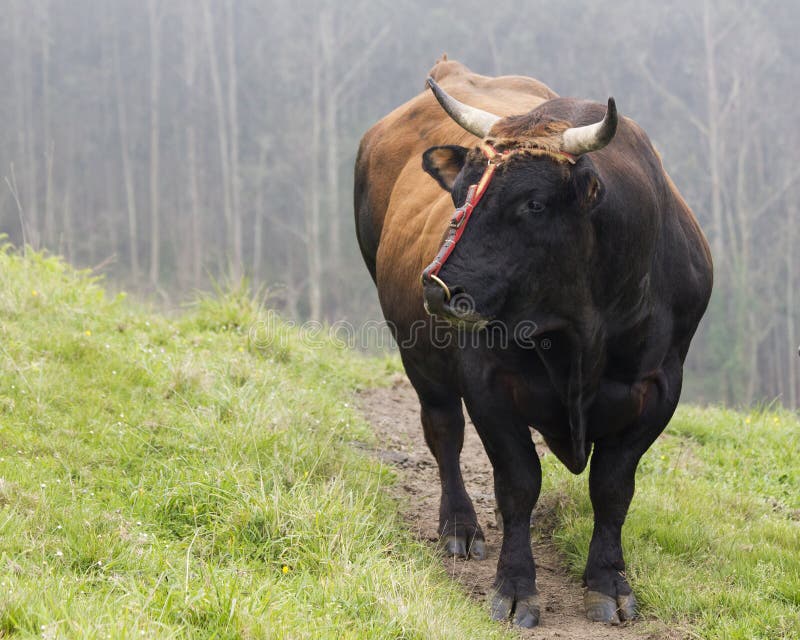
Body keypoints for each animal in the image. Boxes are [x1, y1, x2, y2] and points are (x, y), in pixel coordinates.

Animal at [354, 58, 712, 628]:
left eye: (535, 204)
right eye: (459, 193)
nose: (436, 286)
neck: (583, 328)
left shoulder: (659, 389)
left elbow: (613, 488)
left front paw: (608, 582)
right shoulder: (488, 382)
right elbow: (518, 481)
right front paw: (516, 586)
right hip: (420, 358)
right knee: (444, 431)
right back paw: (460, 525)